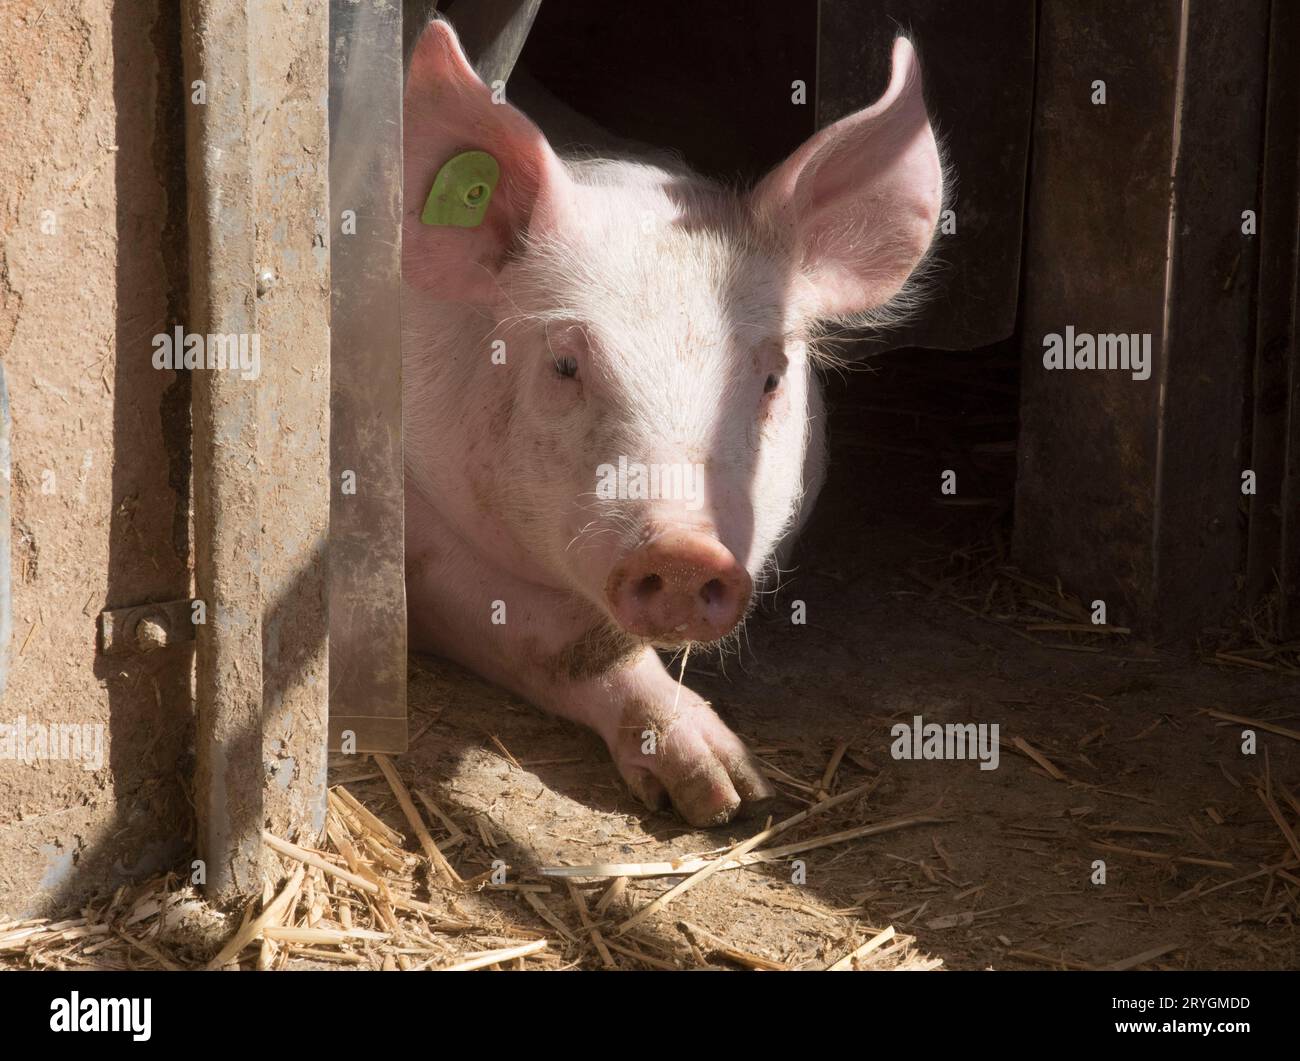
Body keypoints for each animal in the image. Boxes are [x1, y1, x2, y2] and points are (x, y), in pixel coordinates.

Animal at [402, 20, 943, 826]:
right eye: (565, 363)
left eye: (773, 375)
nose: (686, 551)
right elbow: (567, 642)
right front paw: (723, 793)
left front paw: (739, 796)